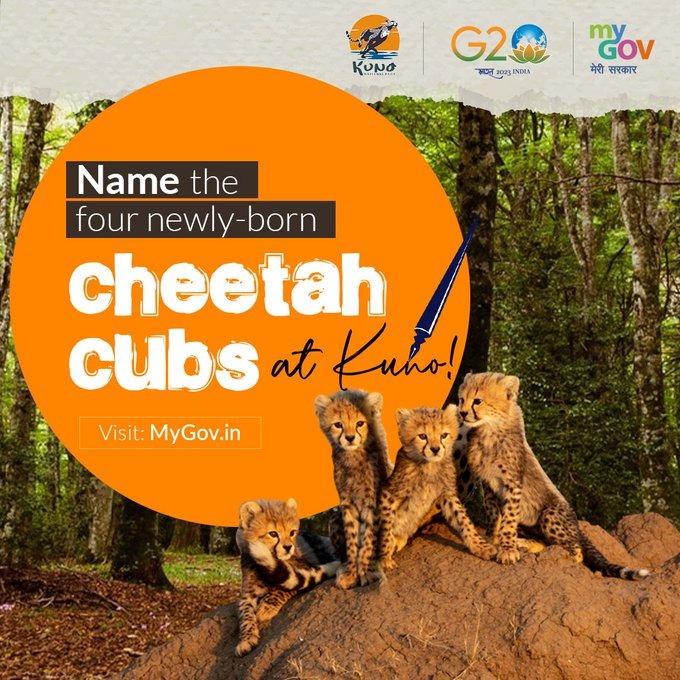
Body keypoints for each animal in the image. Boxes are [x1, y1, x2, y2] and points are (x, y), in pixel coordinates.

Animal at [235, 498, 340, 657]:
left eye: (292, 532)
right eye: (273, 533)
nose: (288, 547)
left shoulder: (306, 570)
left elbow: (283, 588)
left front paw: (266, 608)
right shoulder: (248, 595)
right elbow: (245, 617)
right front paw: (246, 640)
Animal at [314, 388, 391, 589]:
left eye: (360, 423)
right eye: (338, 425)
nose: (349, 438)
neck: (353, 456)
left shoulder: (372, 504)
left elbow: (367, 540)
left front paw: (366, 571)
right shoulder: (347, 503)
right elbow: (351, 540)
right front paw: (351, 573)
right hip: (334, 519)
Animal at [378, 404, 497, 572]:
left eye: (444, 435)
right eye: (422, 436)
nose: (435, 449)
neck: (429, 465)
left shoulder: (447, 494)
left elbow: (463, 520)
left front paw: (480, 546)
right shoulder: (389, 494)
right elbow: (386, 526)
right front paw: (384, 558)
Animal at [457, 371, 649, 579]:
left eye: (477, 401)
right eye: (461, 399)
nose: (462, 413)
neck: (489, 429)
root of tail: (577, 526)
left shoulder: (512, 484)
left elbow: (508, 519)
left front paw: (507, 548)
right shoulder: (488, 484)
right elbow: (493, 514)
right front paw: (493, 537)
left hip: (549, 514)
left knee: (576, 551)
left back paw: (556, 555)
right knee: (545, 542)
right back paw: (524, 544)